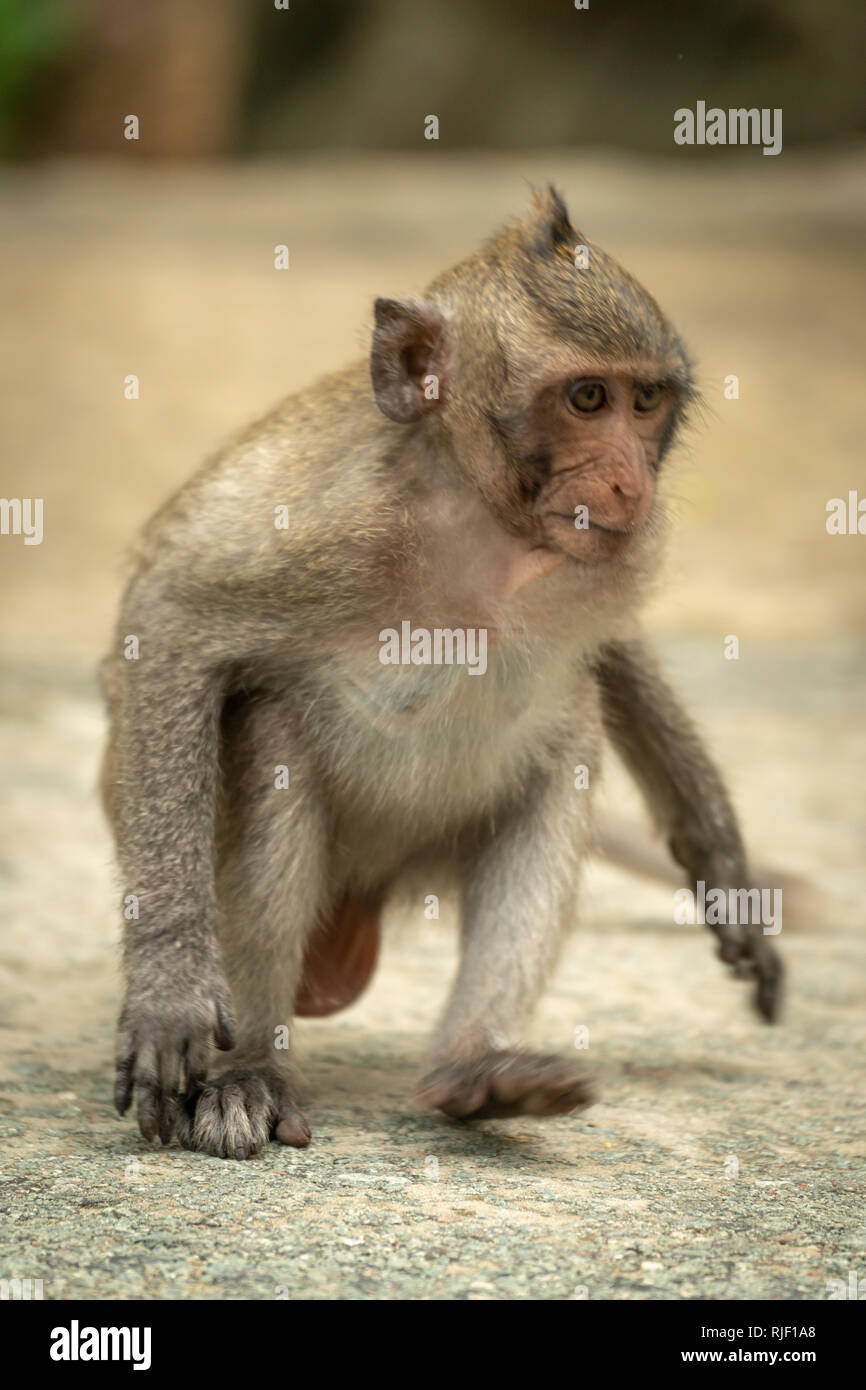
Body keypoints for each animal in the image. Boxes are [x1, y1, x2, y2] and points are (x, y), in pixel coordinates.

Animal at [102, 187, 782, 1159]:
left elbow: (612, 656)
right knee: (272, 730)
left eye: (646, 401)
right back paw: (252, 1073)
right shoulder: (330, 526)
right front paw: (168, 989)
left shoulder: (604, 562)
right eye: (588, 398)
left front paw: (722, 861)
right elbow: (170, 621)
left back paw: (476, 1067)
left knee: (568, 739)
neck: (481, 520)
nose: (629, 485)